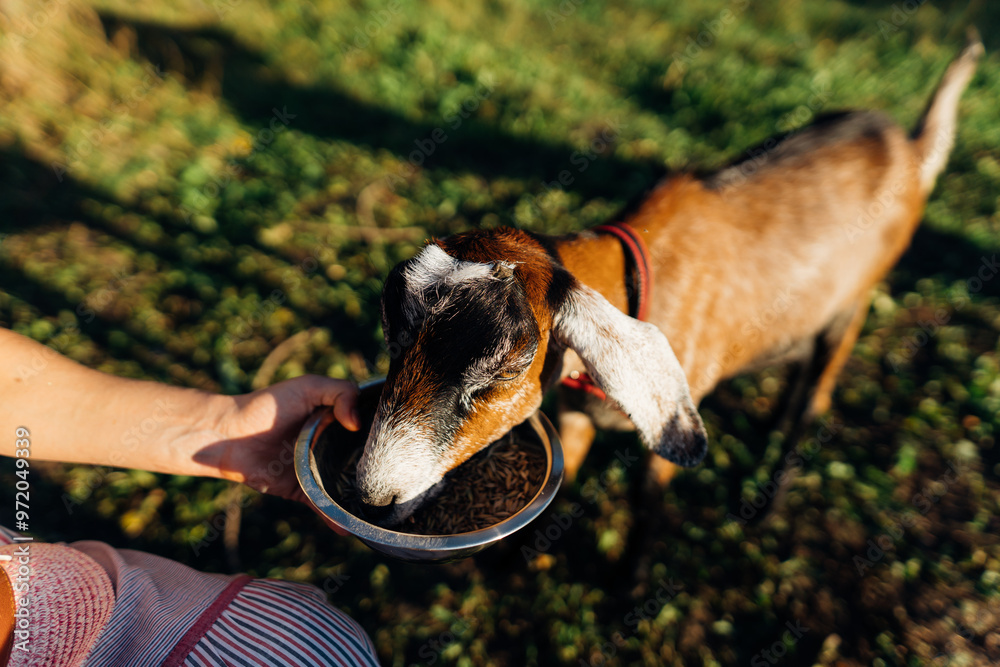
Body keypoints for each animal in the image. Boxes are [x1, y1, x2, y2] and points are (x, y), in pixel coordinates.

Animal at [355, 35, 983, 526]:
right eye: (391, 341)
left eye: (509, 368)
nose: (373, 497)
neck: (634, 282)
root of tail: (910, 148)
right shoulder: (576, 415)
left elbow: (646, 504)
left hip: (854, 307)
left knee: (816, 399)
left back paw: (768, 504)